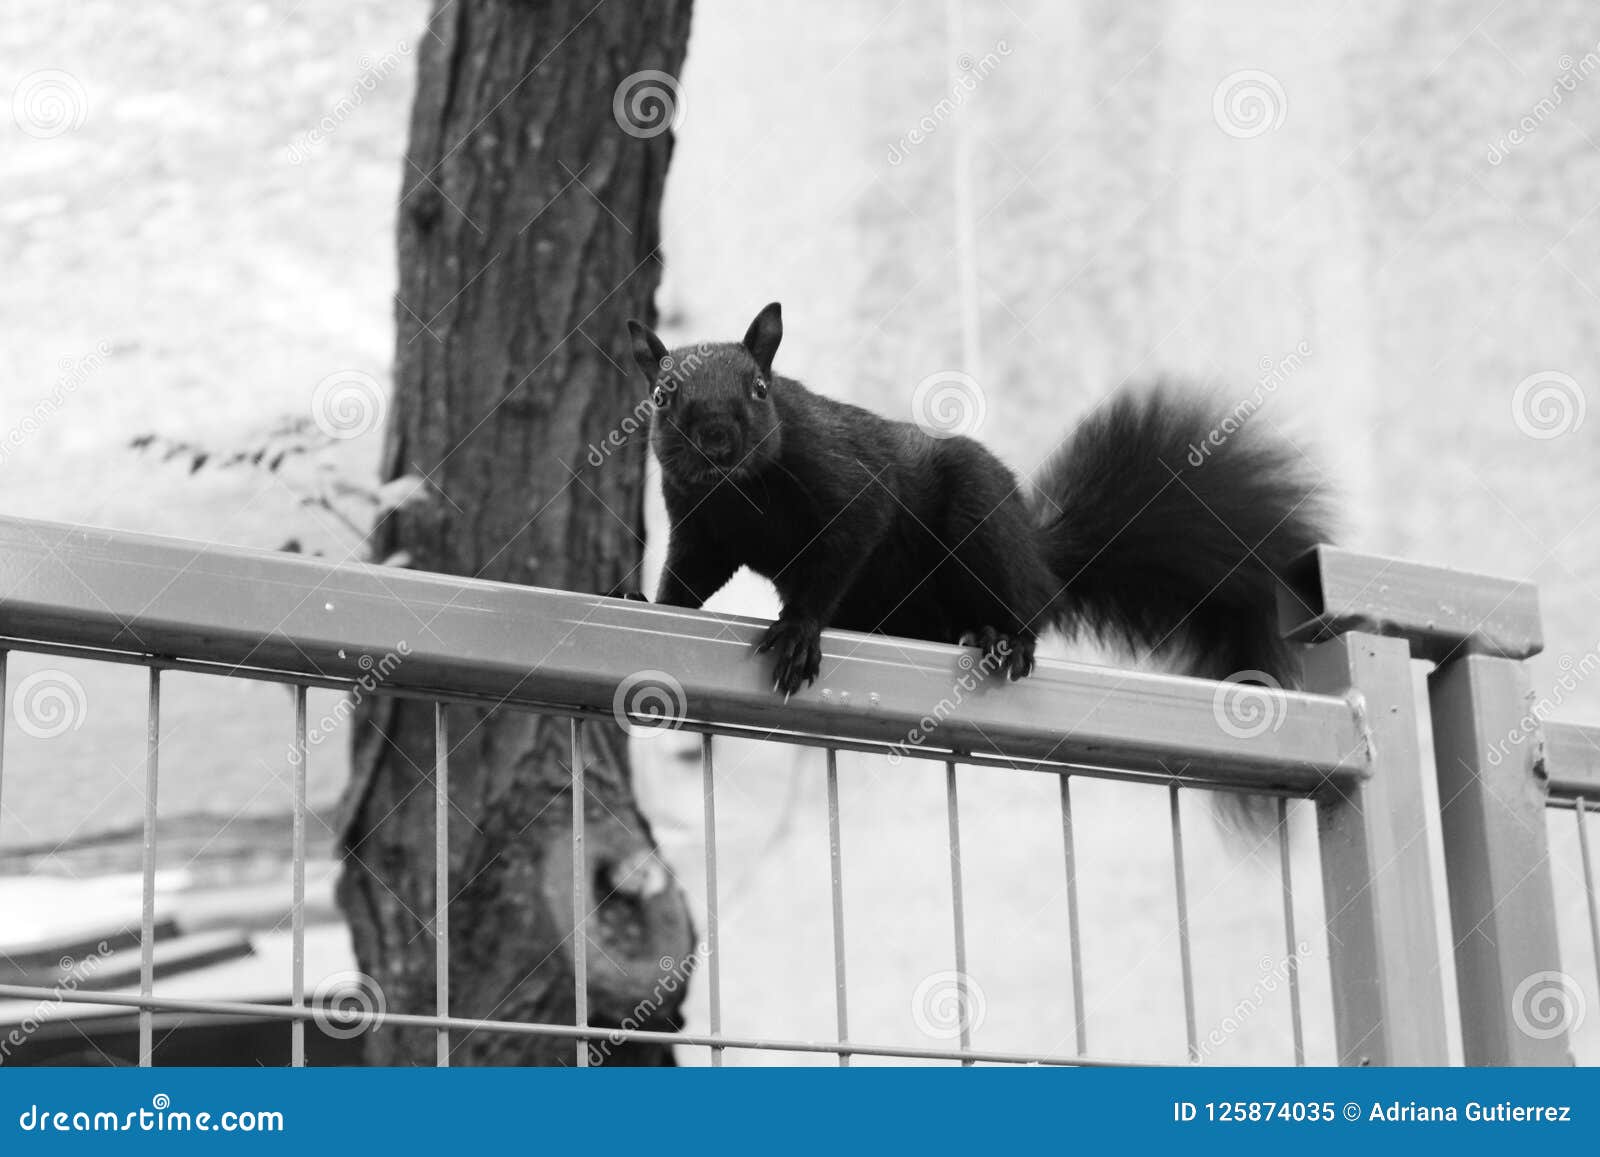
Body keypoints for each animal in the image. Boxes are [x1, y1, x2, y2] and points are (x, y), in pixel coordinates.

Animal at [627, 303, 1329, 697]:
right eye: (660, 396)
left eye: (759, 388)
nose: (717, 438)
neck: (740, 493)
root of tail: (1042, 558)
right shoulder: (697, 526)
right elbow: (688, 577)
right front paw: (649, 602)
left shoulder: (846, 481)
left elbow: (845, 541)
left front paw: (798, 630)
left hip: (981, 518)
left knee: (1031, 607)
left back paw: (1005, 636)